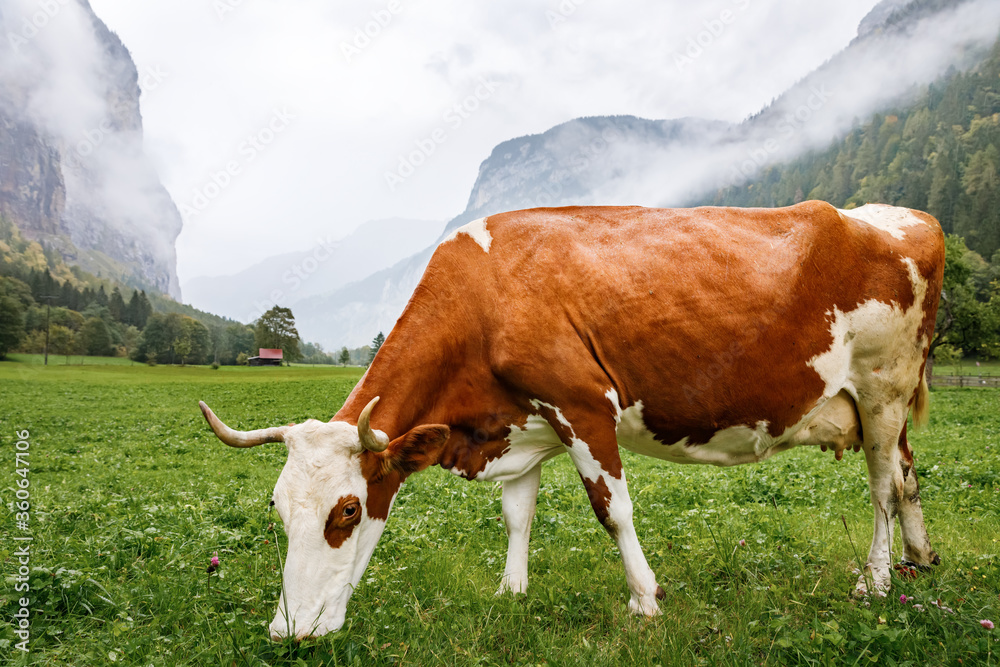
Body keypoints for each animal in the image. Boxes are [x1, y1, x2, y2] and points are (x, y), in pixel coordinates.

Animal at [200, 200, 945, 640]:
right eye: (276, 508)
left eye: (349, 510)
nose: (287, 631)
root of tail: (900, 215)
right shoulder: (523, 426)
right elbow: (516, 514)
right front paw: (511, 589)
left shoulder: (584, 406)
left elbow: (612, 509)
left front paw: (646, 598)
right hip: (881, 403)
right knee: (907, 478)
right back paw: (918, 560)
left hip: (881, 388)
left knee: (881, 486)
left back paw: (876, 579)